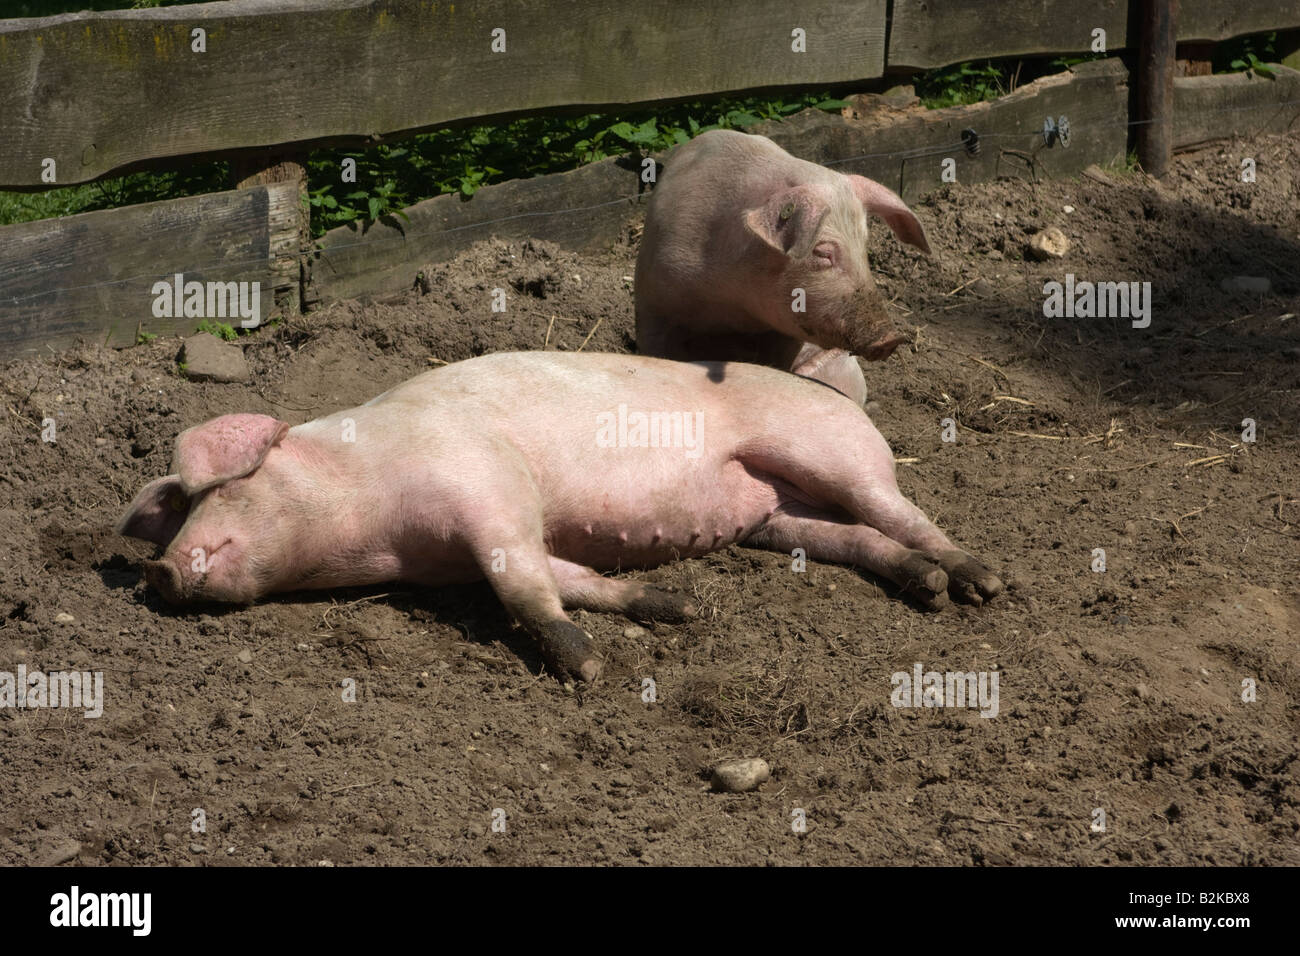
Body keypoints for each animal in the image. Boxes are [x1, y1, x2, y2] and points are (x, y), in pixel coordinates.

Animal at [118, 352, 1000, 683]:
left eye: (217, 492)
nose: (156, 571)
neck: (375, 533)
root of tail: (841, 398)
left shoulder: (492, 493)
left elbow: (526, 589)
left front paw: (588, 668)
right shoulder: (476, 545)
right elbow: (567, 576)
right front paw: (676, 609)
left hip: (833, 454)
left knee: (904, 512)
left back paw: (980, 584)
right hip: (780, 518)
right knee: (857, 538)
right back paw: (926, 587)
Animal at [635, 129, 932, 406]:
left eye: (864, 245)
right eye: (822, 252)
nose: (890, 338)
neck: (732, 305)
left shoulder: (789, 329)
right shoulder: (652, 298)